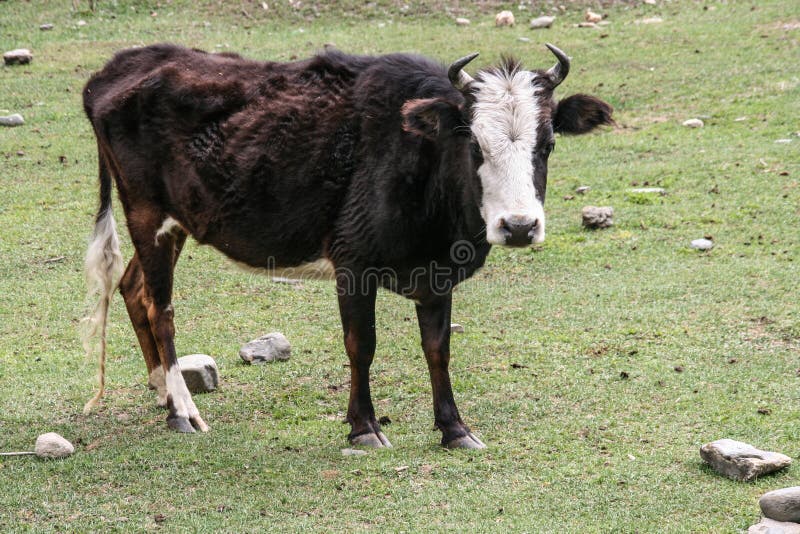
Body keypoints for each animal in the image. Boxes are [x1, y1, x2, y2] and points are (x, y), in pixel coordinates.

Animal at [81, 43, 613, 449]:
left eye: (548, 144)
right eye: (474, 144)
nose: (519, 226)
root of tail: (118, 68)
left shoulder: (437, 274)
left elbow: (437, 348)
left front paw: (455, 429)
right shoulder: (353, 266)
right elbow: (362, 345)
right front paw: (364, 428)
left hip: (174, 223)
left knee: (133, 289)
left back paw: (161, 393)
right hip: (148, 215)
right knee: (161, 307)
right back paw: (182, 411)